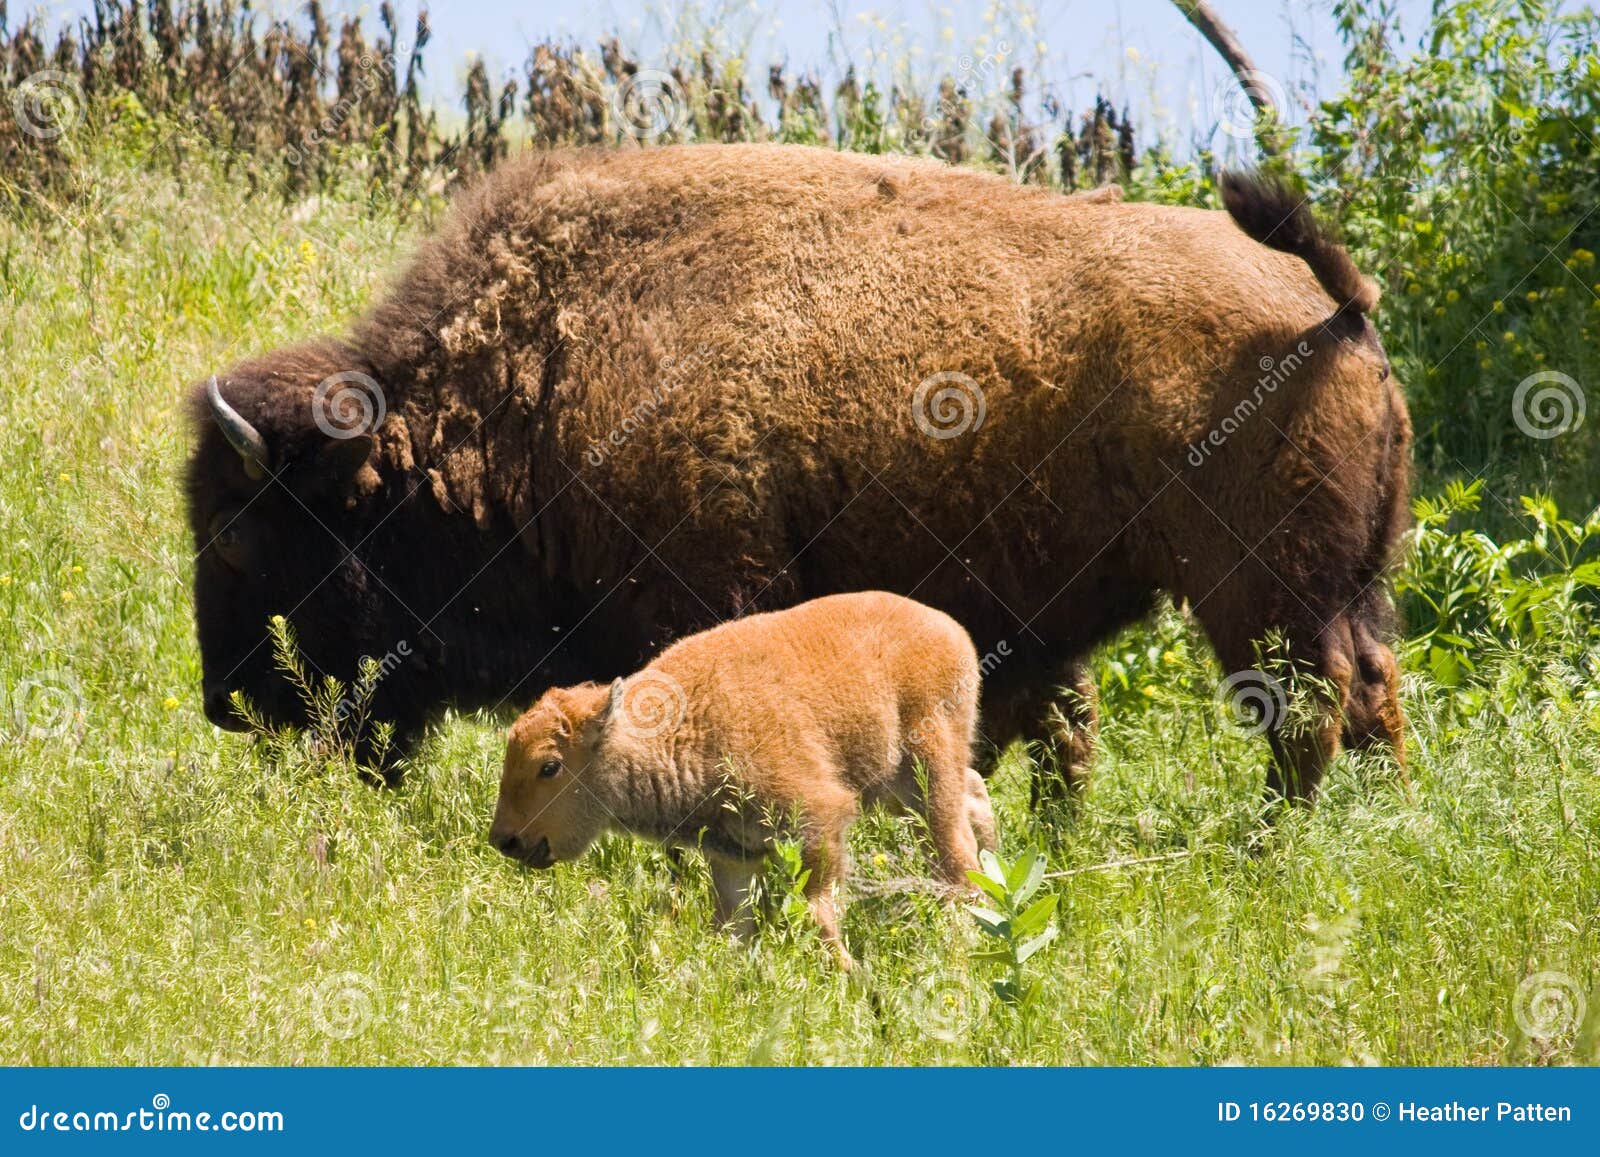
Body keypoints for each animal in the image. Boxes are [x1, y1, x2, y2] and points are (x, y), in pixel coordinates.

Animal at [186, 144, 1410, 806]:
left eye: (240, 536)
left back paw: (1265, 851)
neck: (531, 374)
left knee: (1309, 716)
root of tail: (1336, 307)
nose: (225, 706)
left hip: (1260, 599)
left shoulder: (704, 589)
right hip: (1341, 594)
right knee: (1373, 700)